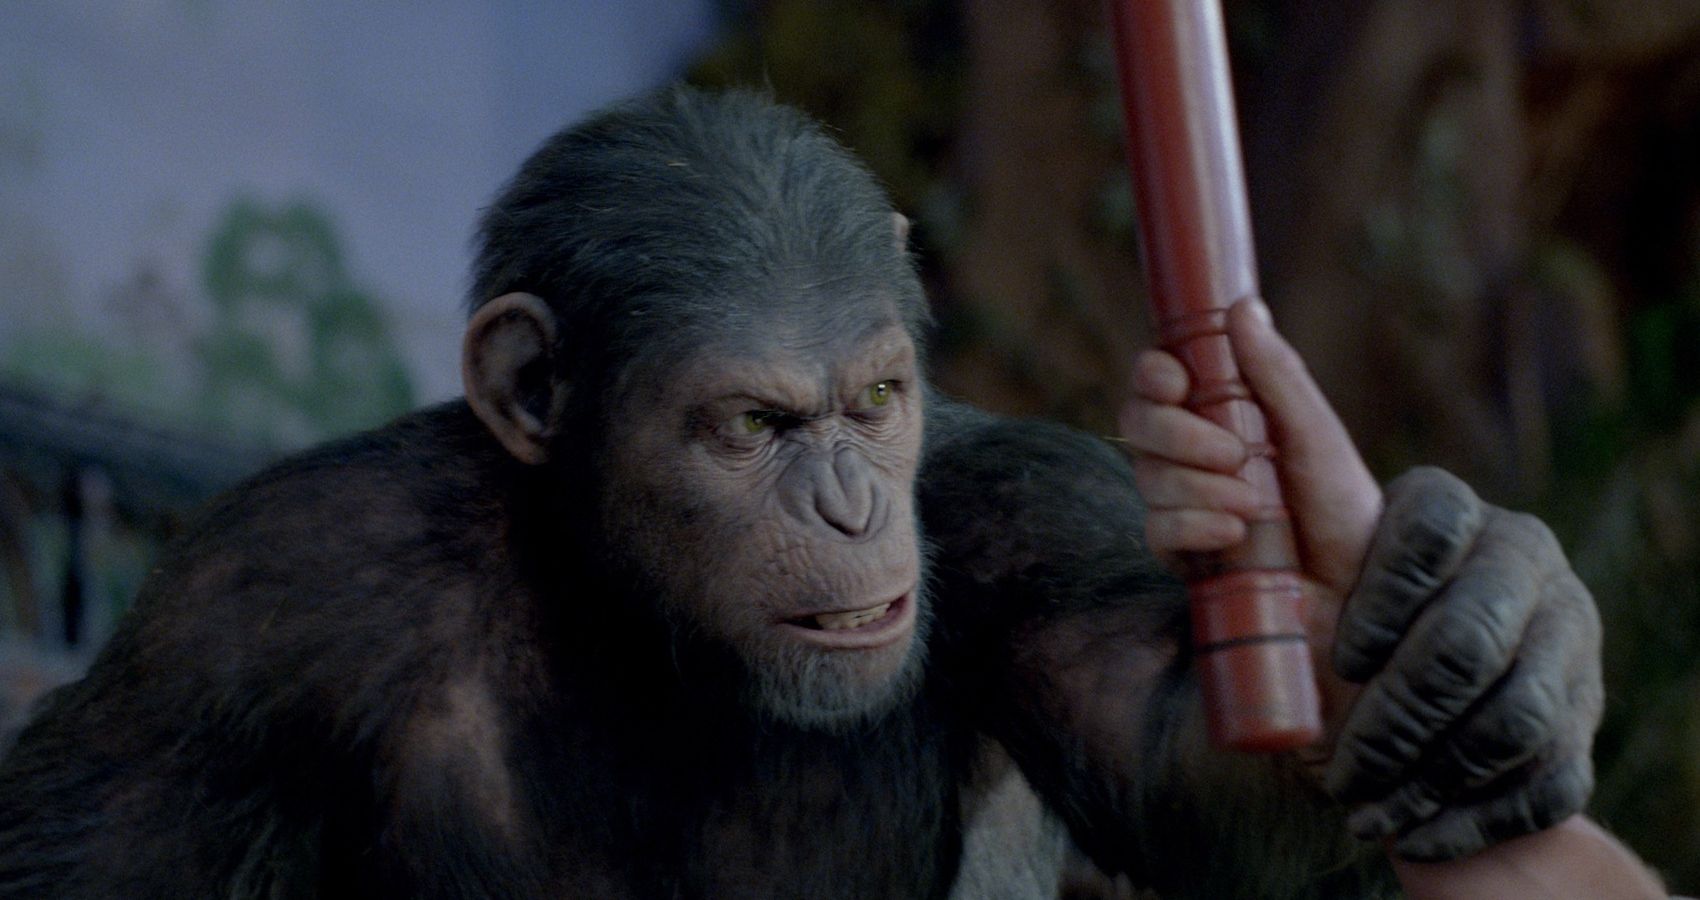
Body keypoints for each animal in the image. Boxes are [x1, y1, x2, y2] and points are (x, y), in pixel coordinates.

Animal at [0, 87, 1602, 899]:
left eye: (876, 400)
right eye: (752, 425)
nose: (846, 509)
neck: (642, 622)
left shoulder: (1020, 514)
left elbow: (1185, 769)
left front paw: (1461, 631)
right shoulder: (246, 617)